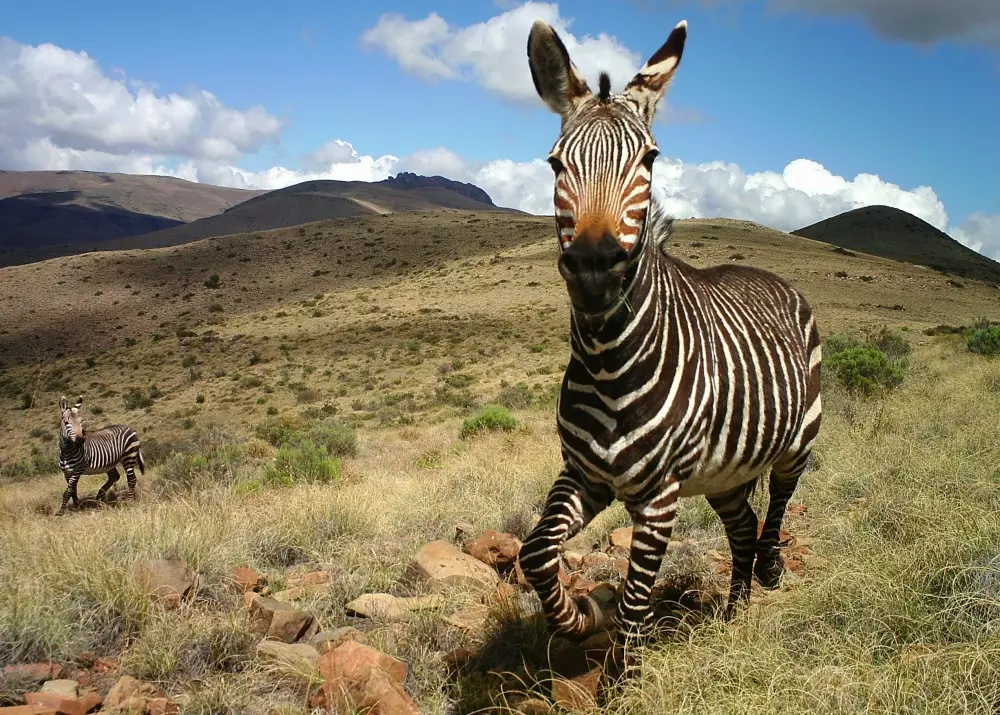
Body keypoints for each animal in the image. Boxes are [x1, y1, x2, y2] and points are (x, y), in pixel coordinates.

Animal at [520, 16, 824, 656]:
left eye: (650, 160)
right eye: (556, 165)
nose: (594, 270)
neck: (609, 361)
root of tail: (768, 273)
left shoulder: (659, 497)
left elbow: (635, 606)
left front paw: (622, 666)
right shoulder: (584, 474)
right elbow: (535, 552)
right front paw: (580, 617)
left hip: (798, 438)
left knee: (778, 503)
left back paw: (770, 571)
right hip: (724, 473)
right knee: (742, 526)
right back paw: (734, 613)